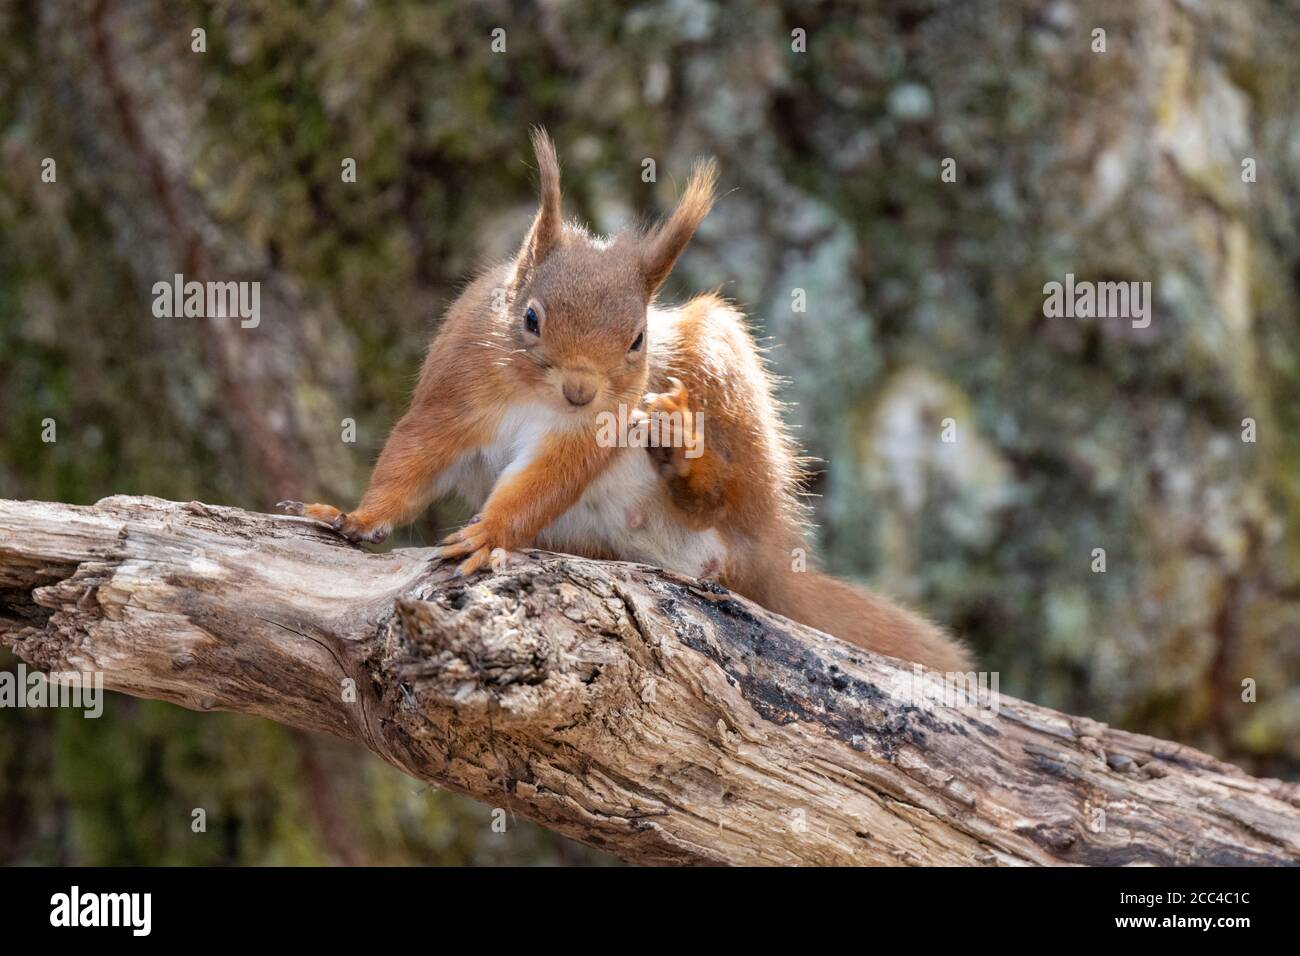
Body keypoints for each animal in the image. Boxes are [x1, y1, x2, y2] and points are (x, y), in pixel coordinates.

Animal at [280, 130, 971, 673]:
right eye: (531, 319)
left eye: (638, 339)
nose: (581, 390)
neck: (535, 397)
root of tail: (770, 556)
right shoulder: (454, 395)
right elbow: (412, 459)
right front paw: (354, 517)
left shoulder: (594, 428)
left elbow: (547, 480)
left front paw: (490, 535)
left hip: (719, 371)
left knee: (723, 502)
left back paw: (685, 453)